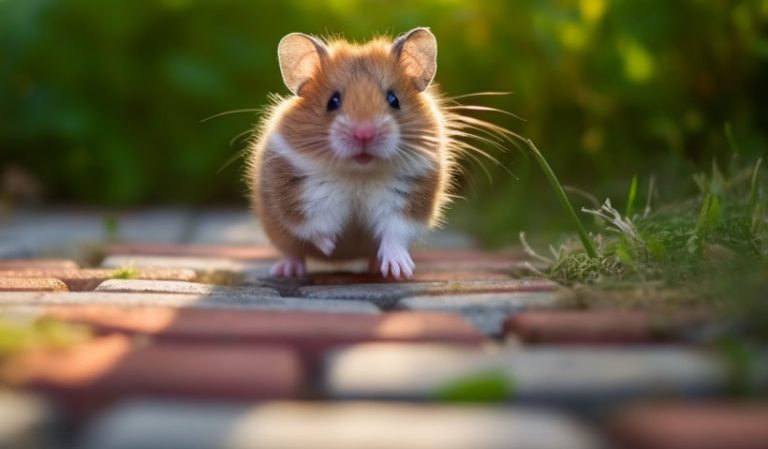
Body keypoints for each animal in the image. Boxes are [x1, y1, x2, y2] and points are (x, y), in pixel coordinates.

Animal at [247, 28, 471, 279]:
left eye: (394, 99)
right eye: (332, 101)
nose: (364, 134)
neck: (358, 173)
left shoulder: (407, 199)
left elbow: (395, 232)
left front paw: (399, 270)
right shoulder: (298, 195)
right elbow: (315, 226)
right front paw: (331, 246)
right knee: (293, 253)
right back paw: (286, 270)